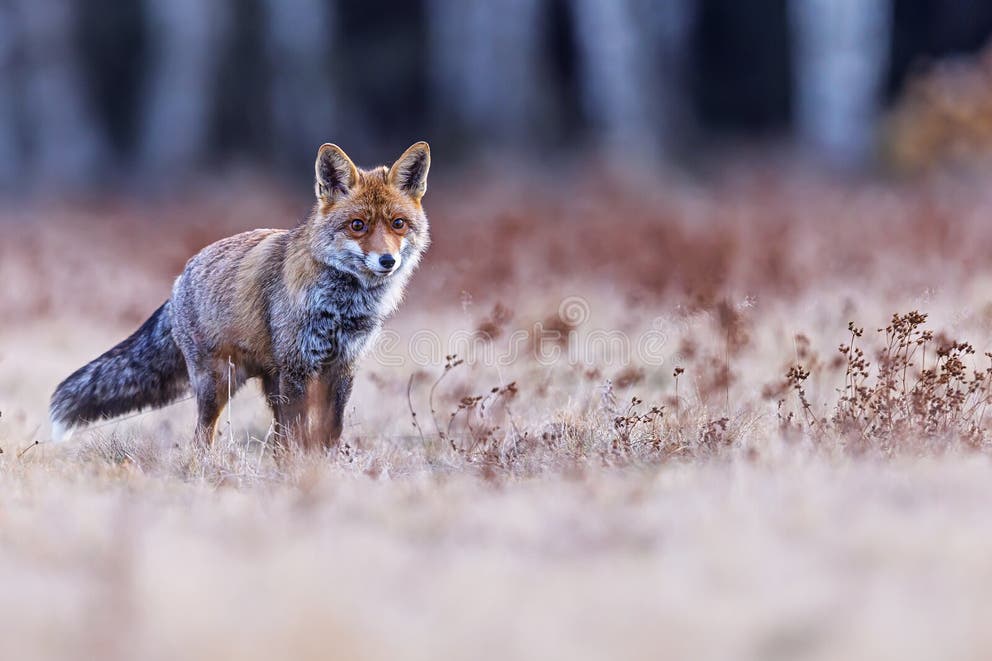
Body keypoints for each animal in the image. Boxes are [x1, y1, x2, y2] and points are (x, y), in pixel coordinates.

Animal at [50, 141, 431, 451]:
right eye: (358, 225)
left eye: (398, 224)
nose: (387, 260)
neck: (342, 307)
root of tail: (179, 279)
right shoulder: (299, 366)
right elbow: (299, 435)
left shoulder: (342, 366)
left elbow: (328, 434)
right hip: (219, 385)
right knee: (202, 439)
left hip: (269, 382)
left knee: (273, 437)